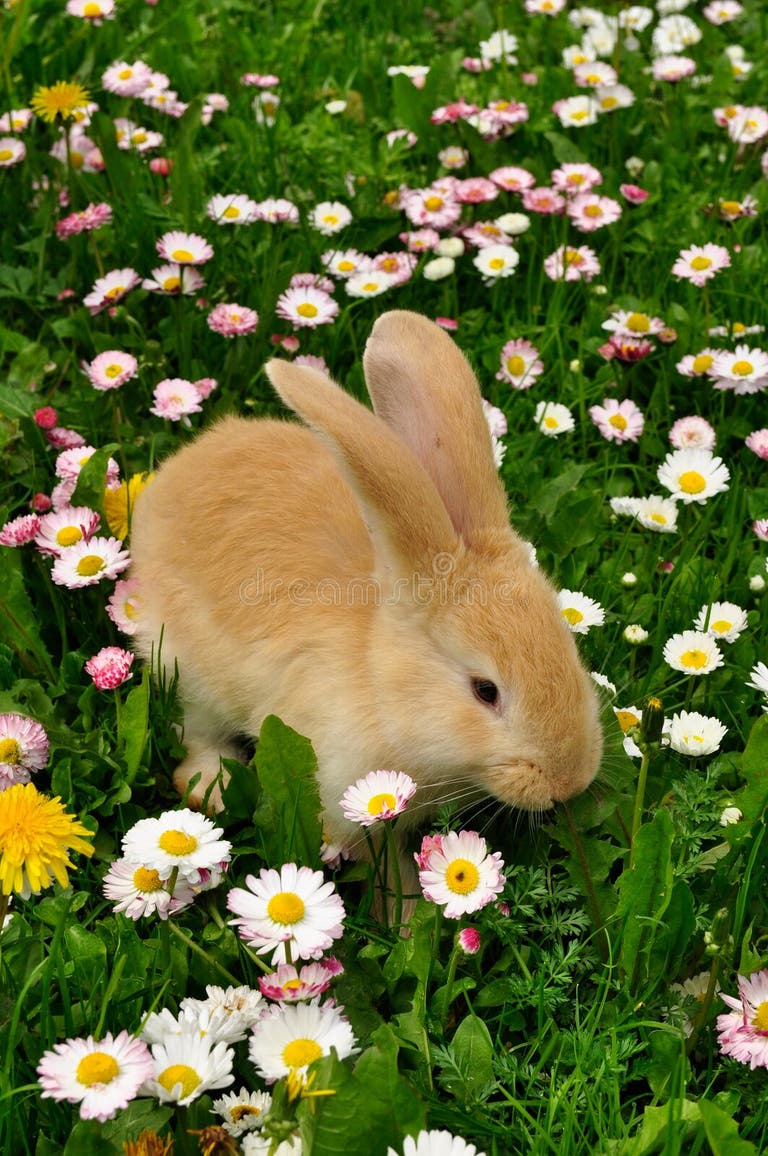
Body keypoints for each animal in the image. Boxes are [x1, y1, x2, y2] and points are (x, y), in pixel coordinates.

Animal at [129, 310, 603, 864]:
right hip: (186, 668)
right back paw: (212, 788)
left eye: (569, 646)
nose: (569, 781)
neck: (381, 680)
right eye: (485, 691)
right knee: (197, 731)